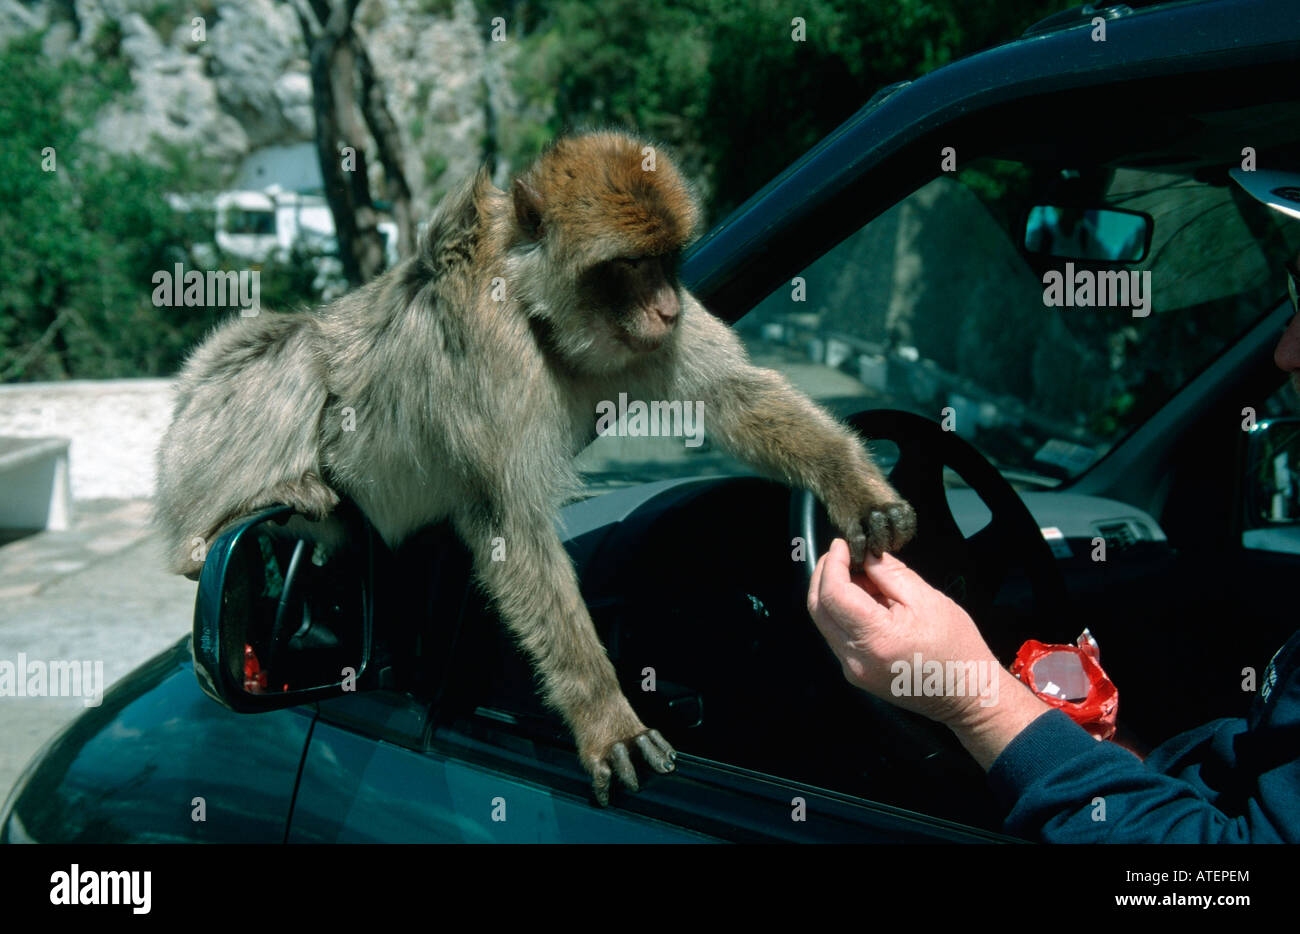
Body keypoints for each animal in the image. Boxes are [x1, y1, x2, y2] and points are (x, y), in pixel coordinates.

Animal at [155, 131, 916, 806]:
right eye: (629, 266)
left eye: (667, 259)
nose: (670, 307)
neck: (537, 314)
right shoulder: (496, 353)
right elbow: (510, 520)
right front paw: (607, 718)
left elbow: (736, 394)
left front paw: (859, 490)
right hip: (192, 445)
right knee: (291, 349)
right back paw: (223, 528)